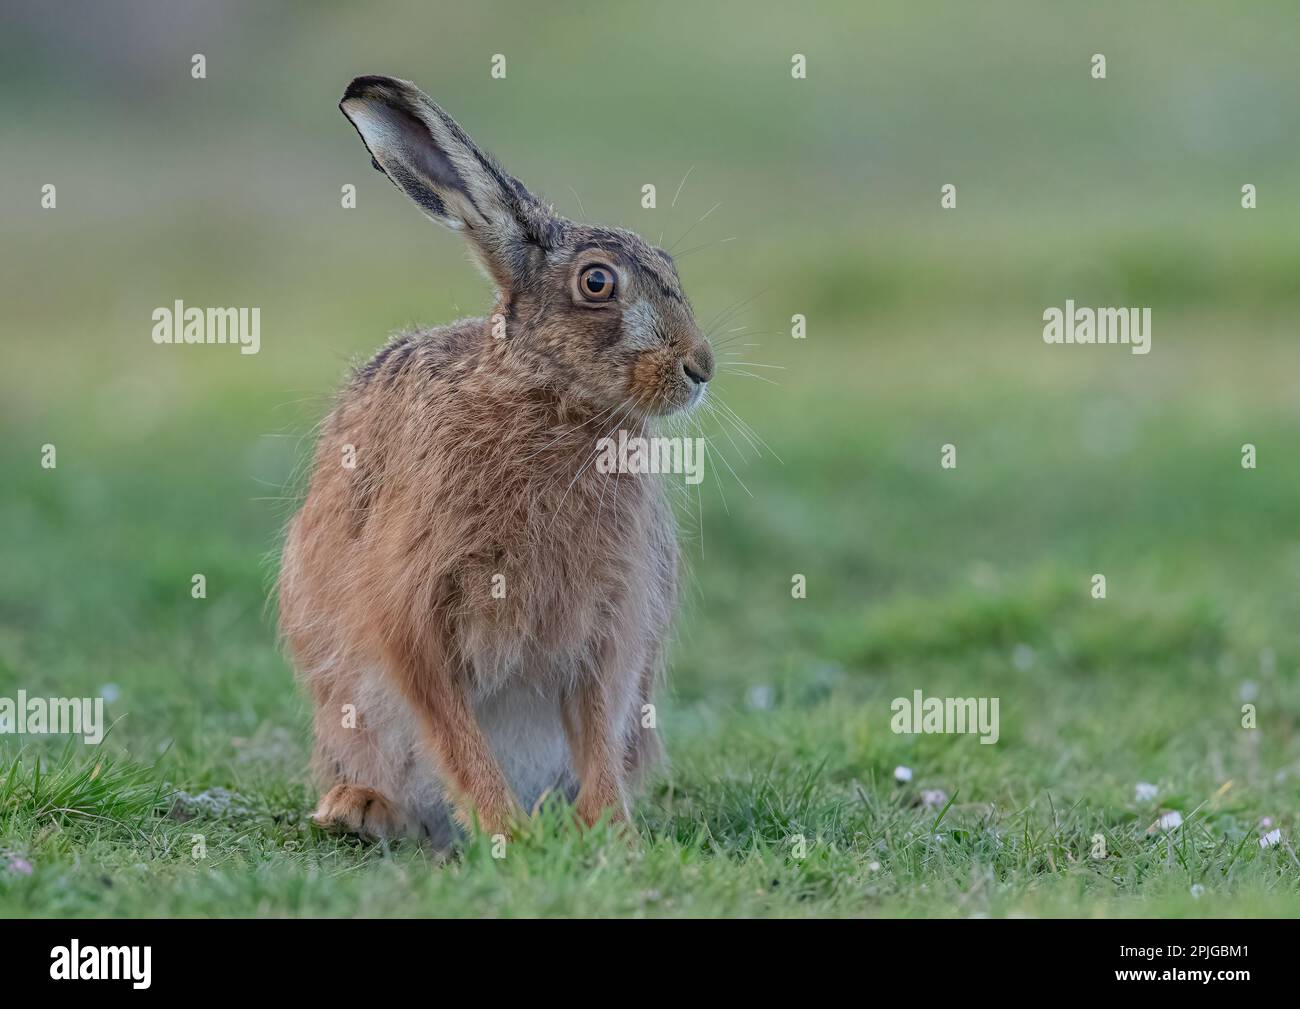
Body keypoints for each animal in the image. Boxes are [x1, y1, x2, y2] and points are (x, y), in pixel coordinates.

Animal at [278, 75, 715, 845]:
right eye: (597, 284)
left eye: (668, 267)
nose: (701, 367)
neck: (549, 398)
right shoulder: (413, 605)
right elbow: (450, 724)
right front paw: (504, 827)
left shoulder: (612, 617)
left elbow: (597, 724)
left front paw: (610, 833)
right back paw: (359, 807)